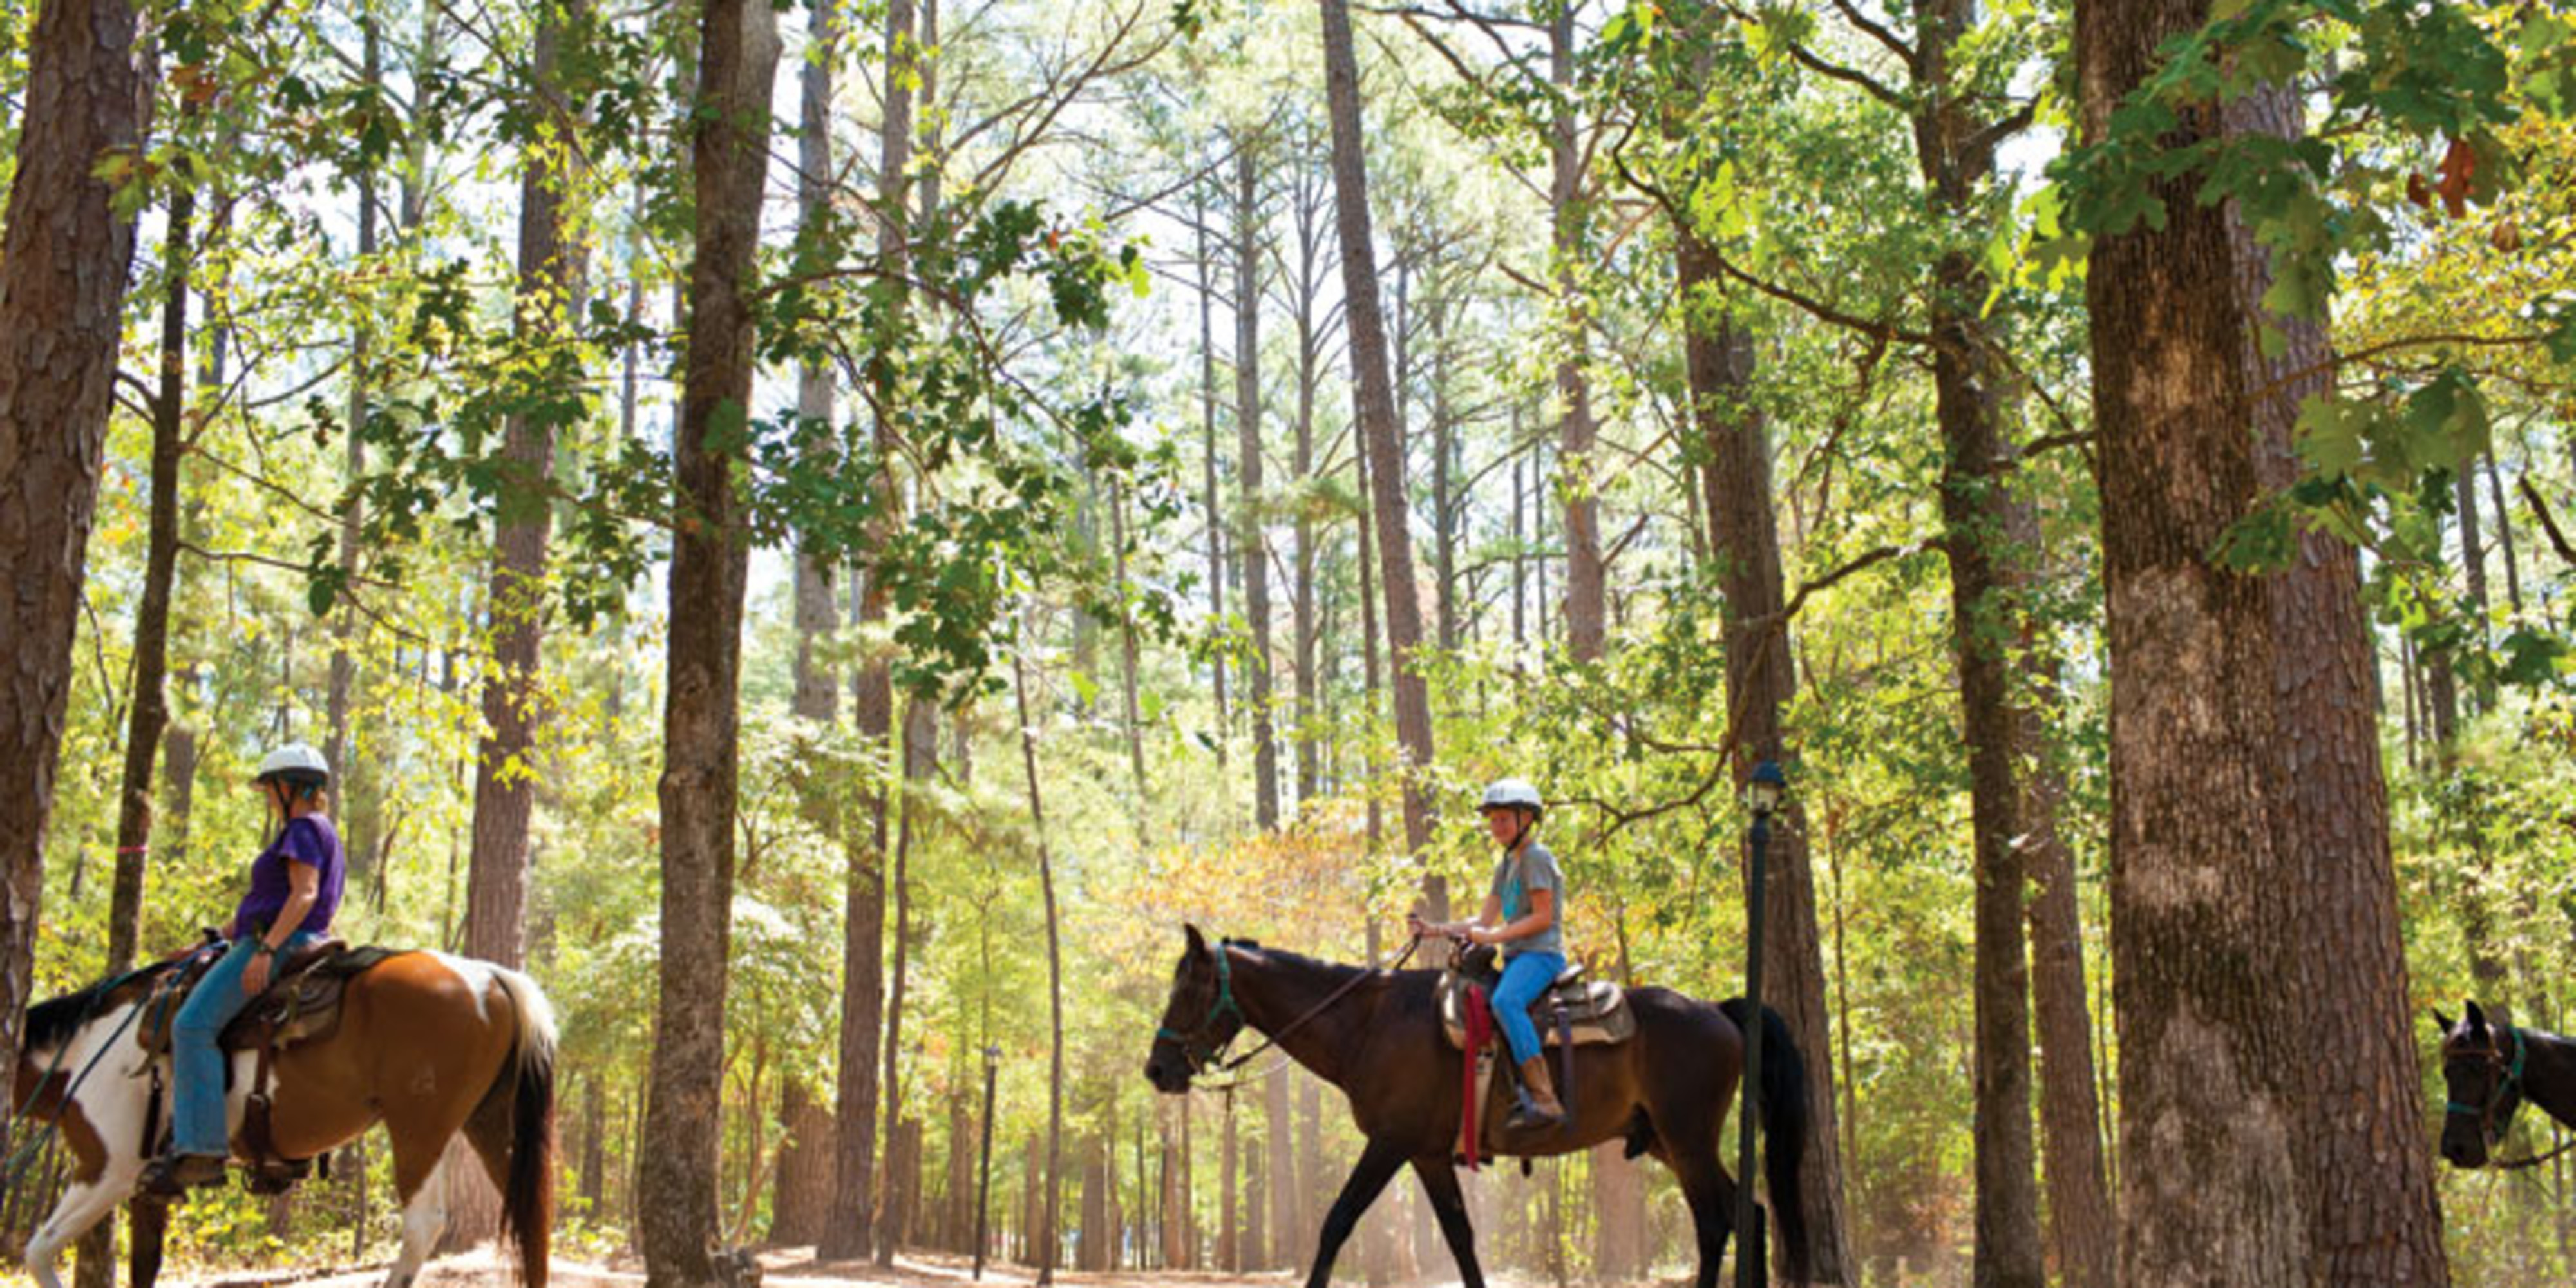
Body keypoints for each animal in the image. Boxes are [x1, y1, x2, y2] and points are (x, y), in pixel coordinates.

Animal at [10, 948, 558, 1288]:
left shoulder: (108, 1168)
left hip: (419, 1129)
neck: (87, 1050)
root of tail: (489, 977)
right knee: (532, 1223)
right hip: (486, 1124)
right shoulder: (149, 1186)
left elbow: (37, 1252)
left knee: (424, 1225)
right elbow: (145, 1265)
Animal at [1143, 925, 1811, 1288]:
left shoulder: (1390, 1143)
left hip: (1688, 1137)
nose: (1157, 1070)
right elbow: (1461, 1237)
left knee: (1717, 1220)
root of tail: (1719, 1011)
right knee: (1748, 1212)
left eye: (1188, 989)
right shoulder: (1429, 1155)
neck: (1370, 1024)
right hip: (1669, 1142)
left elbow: (1337, 1221)